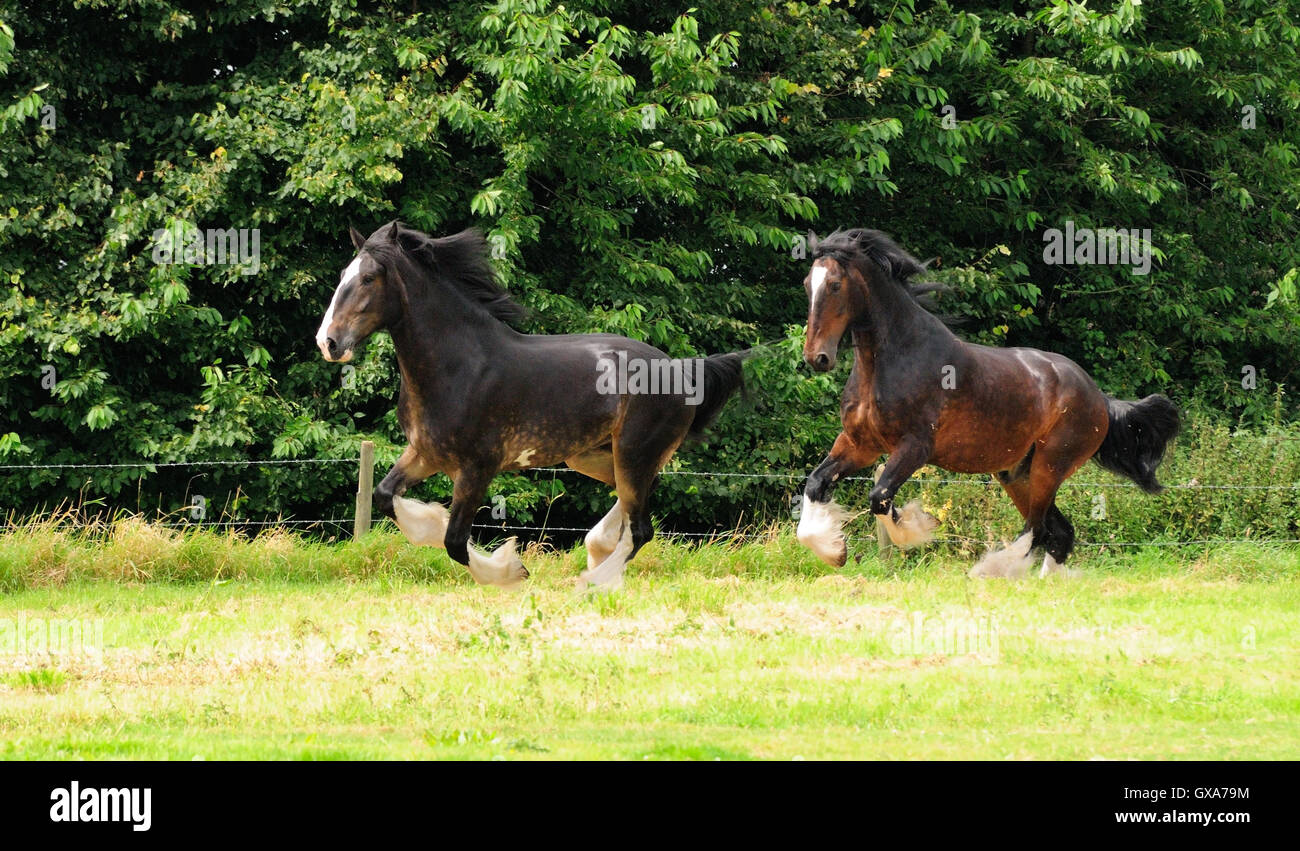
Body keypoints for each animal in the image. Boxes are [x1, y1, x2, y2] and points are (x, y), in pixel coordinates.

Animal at [315, 221, 746, 590]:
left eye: (368, 278)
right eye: (343, 275)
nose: (328, 342)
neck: (461, 365)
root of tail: (681, 370)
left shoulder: (477, 467)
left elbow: (454, 542)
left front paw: (510, 571)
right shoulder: (425, 453)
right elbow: (386, 497)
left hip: (633, 453)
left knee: (642, 529)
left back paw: (593, 580)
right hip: (592, 457)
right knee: (634, 502)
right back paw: (599, 552)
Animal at [795, 228, 1180, 578]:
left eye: (834, 285)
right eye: (807, 284)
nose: (818, 358)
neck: (892, 360)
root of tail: (1098, 396)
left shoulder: (915, 447)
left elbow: (879, 497)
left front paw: (917, 529)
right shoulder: (860, 444)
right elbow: (815, 485)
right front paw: (834, 551)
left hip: (1052, 465)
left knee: (1037, 529)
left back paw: (990, 570)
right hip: (1017, 474)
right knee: (1059, 533)